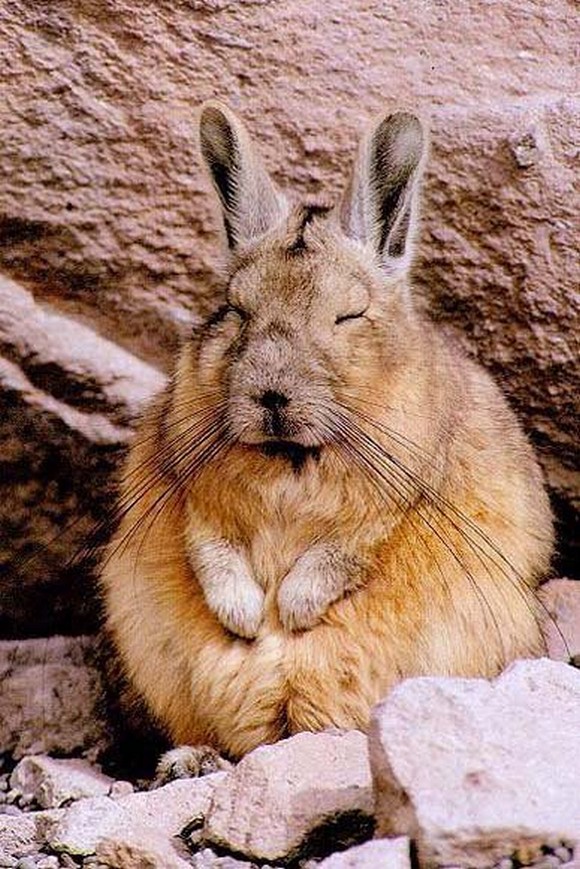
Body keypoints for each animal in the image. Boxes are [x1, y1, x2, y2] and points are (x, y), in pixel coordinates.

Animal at [99, 101, 554, 761]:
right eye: (234, 310)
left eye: (348, 315)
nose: (270, 394)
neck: (289, 454)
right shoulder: (187, 491)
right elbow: (210, 547)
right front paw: (246, 620)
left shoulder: (395, 497)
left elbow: (344, 552)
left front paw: (287, 615)